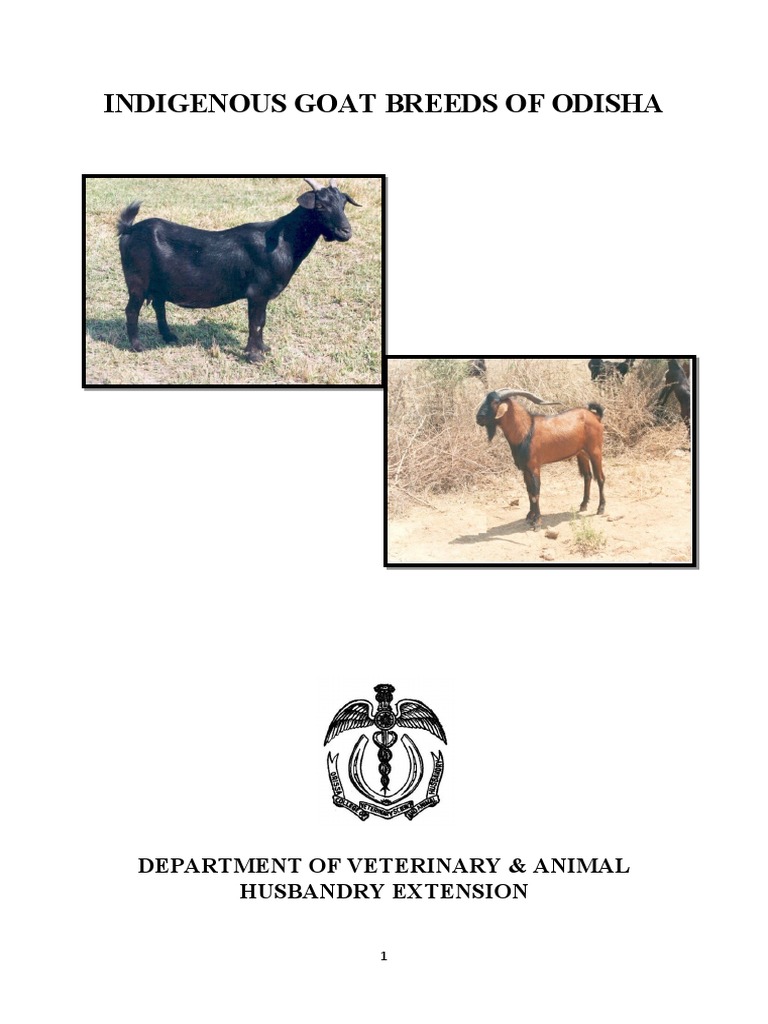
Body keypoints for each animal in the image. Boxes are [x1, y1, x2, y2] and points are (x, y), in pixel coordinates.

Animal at [117, 178, 361, 363]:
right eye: (320, 206)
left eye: (343, 204)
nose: (345, 231)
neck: (282, 241)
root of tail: (129, 230)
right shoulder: (257, 292)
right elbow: (256, 322)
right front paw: (255, 356)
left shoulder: (263, 296)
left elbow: (262, 321)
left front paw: (263, 349)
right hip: (137, 280)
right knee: (132, 310)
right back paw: (137, 346)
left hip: (159, 283)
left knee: (158, 305)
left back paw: (169, 336)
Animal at [476, 389, 606, 528]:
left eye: (495, 402)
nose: (478, 418)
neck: (526, 431)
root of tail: (595, 416)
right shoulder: (525, 469)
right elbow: (529, 492)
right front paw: (530, 516)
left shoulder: (534, 467)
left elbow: (535, 492)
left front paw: (537, 521)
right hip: (582, 453)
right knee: (588, 476)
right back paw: (583, 504)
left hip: (595, 451)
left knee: (600, 478)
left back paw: (601, 508)